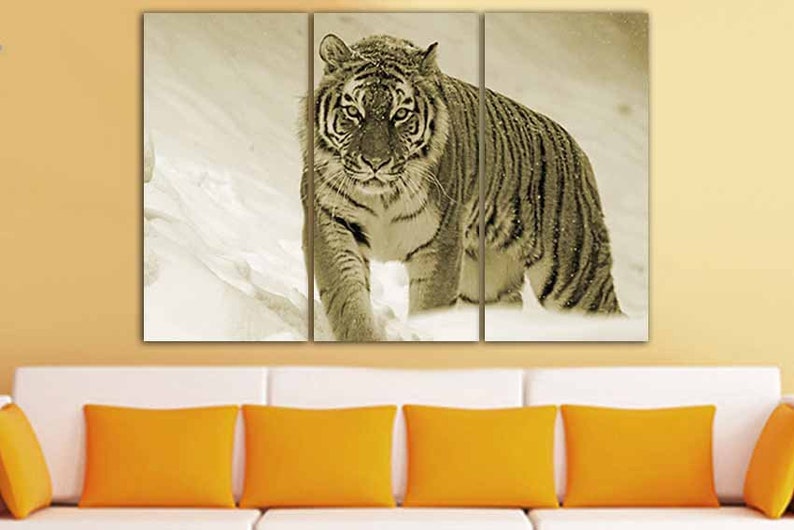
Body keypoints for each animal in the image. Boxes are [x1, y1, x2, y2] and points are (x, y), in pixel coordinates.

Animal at [302, 33, 621, 342]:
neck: (384, 197)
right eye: (353, 111)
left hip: (574, 276)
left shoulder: (440, 245)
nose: (375, 162)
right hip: (488, 282)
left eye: (401, 114)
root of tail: (578, 152)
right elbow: (347, 297)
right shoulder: (332, 222)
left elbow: (430, 308)